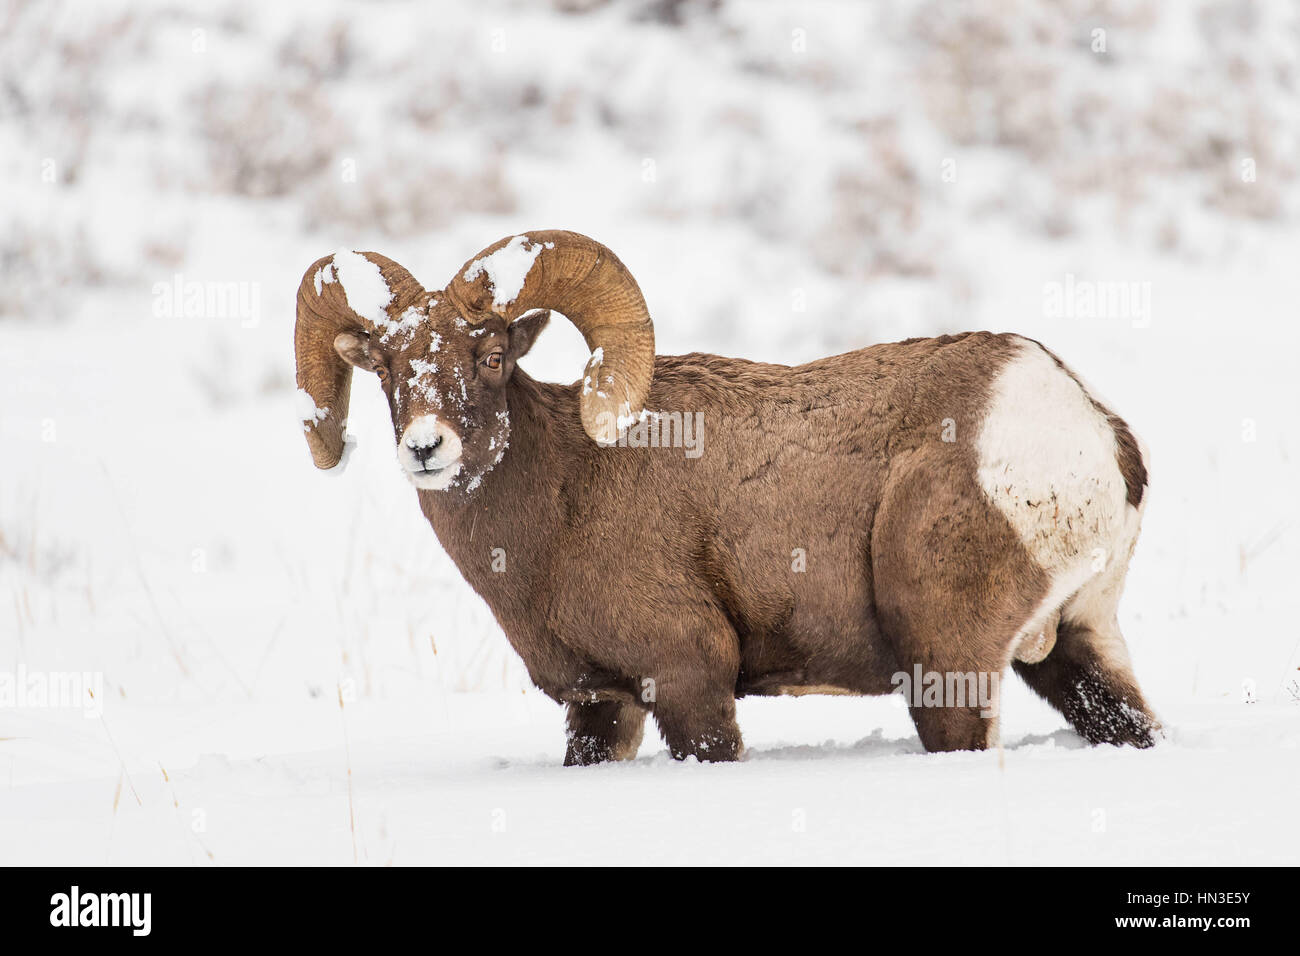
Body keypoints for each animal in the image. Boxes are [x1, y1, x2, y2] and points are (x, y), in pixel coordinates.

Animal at [293, 230, 1159, 764]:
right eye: (386, 367)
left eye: (493, 354)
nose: (425, 449)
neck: (561, 503)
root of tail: (1091, 430)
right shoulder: (600, 704)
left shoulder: (688, 681)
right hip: (1077, 647)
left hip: (948, 664)